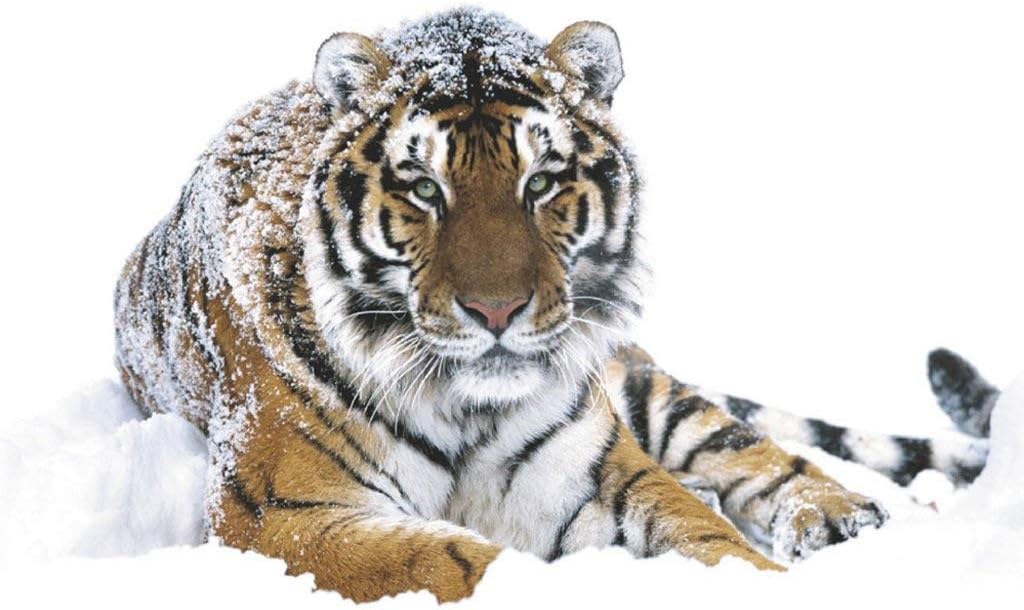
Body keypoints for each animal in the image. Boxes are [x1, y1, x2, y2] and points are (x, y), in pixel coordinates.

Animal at [113, 8, 989, 603]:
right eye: (424, 187)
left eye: (540, 182)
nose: (497, 312)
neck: (464, 408)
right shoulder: (281, 514)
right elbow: (451, 559)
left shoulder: (593, 475)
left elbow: (705, 532)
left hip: (645, 389)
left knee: (753, 450)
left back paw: (835, 516)